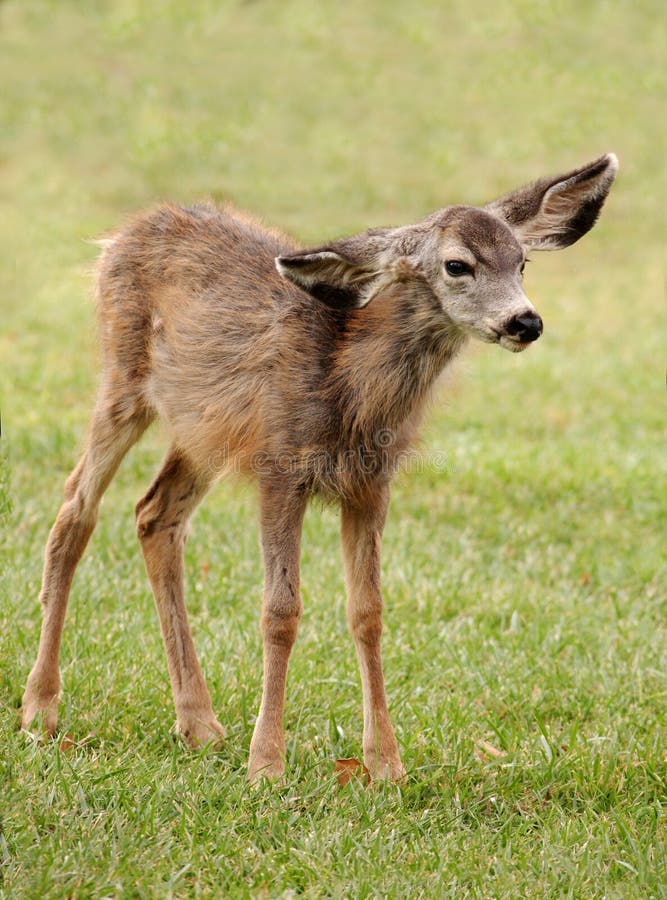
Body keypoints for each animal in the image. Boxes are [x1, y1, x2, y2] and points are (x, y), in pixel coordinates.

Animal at [21, 154, 618, 781]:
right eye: (458, 264)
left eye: (522, 262)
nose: (525, 321)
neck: (349, 387)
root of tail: (122, 234)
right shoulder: (280, 468)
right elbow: (280, 611)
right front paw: (266, 763)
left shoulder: (372, 484)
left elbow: (368, 611)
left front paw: (384, 764)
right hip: (123, 380)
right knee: (75, 511)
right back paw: (40, 709)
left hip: (201, 429)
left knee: (154, 513)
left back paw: (199, 724)